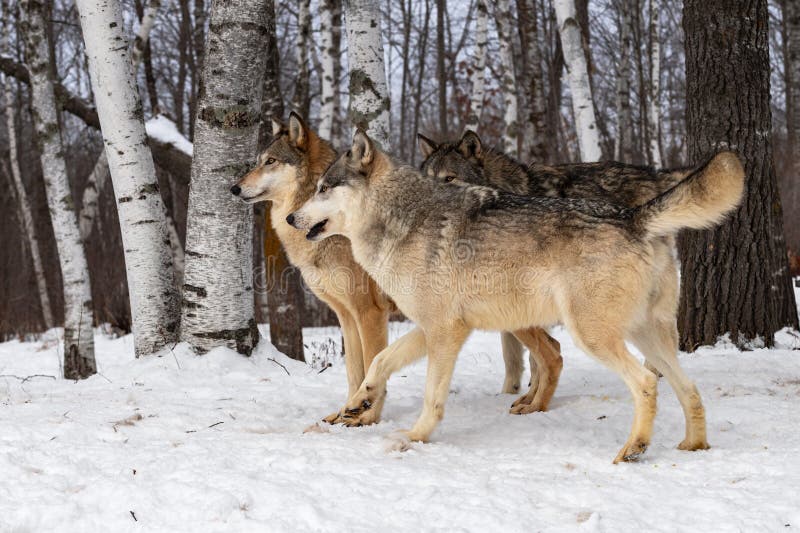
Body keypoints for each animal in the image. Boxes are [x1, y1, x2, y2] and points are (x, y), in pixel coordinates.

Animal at [418, 130, 694, 408]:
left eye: (449, 178)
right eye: (426, 180)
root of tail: (654, 173)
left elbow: (536, 357)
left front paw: (534, 398)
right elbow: (511, 356)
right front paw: (511, 391)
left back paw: (656, 372)